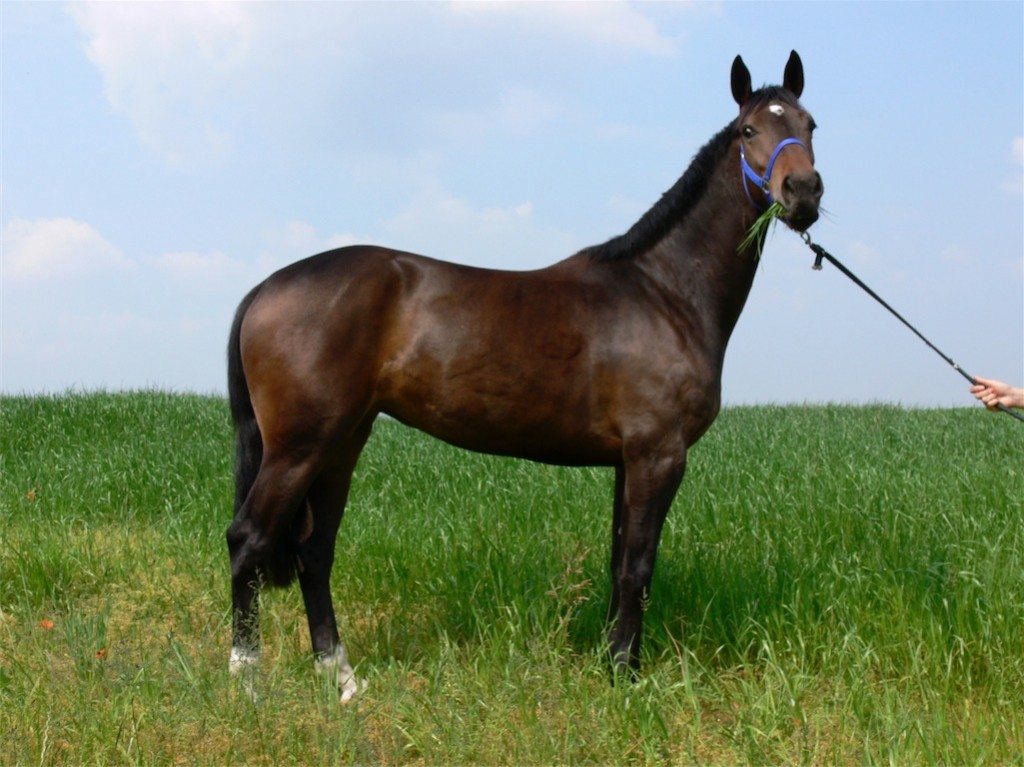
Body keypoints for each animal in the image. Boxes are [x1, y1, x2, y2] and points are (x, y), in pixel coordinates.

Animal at [225, 51, 823, 700]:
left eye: (810, 124)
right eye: (748, 130)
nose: (803, 191)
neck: (664, 293)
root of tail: (266, 287)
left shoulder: (628, 461)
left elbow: (618, 563)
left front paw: (612, 662)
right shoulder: (658, 454)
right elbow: (638, 566)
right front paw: (624, 676)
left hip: (341, 443)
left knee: (314, 551)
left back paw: (341, 678)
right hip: (299, 447)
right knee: (248, 540)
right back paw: (246, 678)